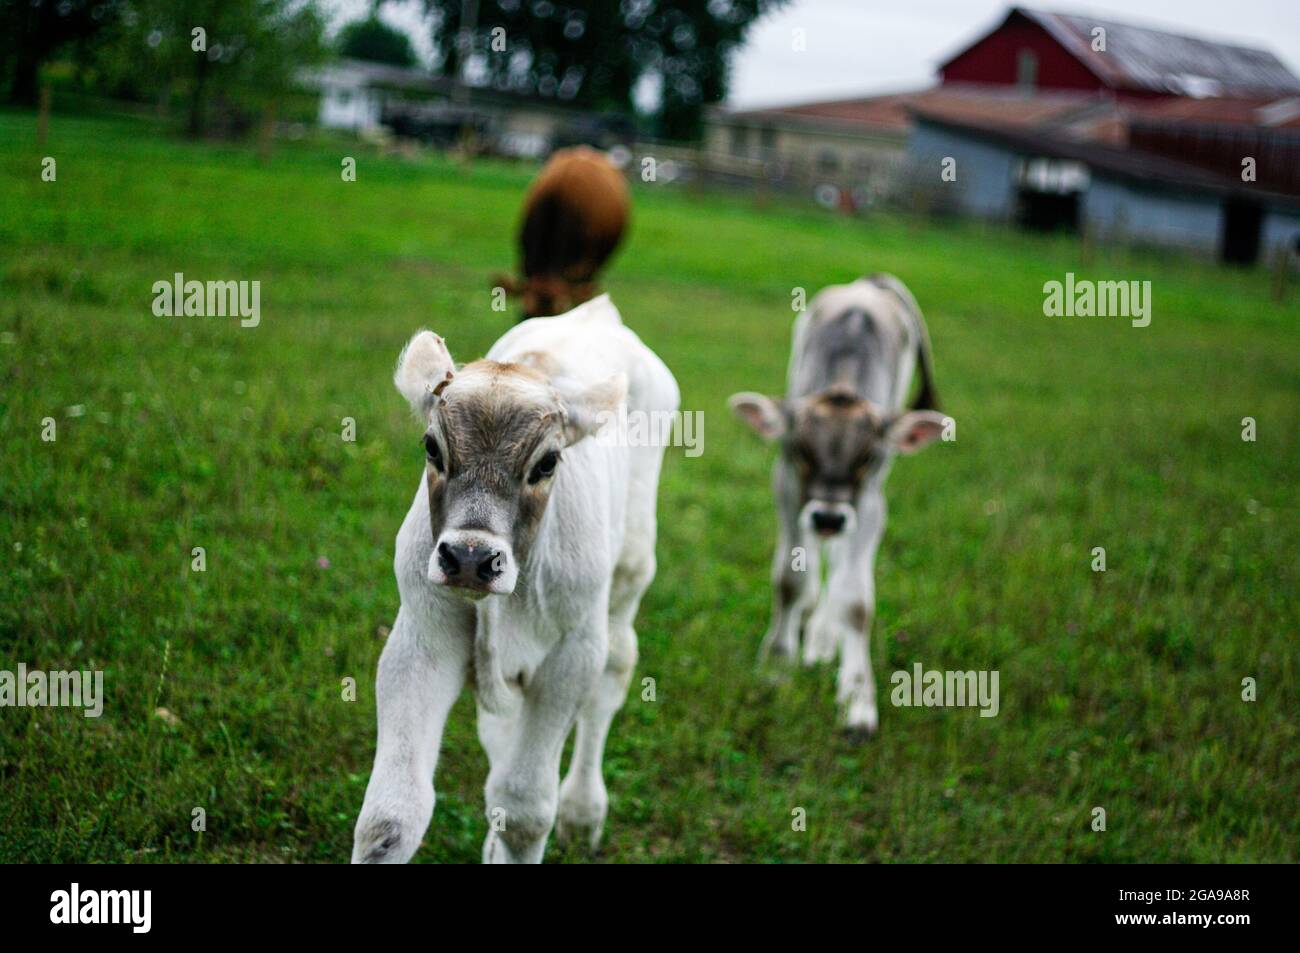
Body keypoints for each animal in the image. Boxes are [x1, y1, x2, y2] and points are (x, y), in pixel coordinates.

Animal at [352, 293, 679, 864]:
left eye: (547, 463)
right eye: (432, 447)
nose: (469, 558)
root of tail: (597, 312)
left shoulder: (571, 655)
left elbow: (527, 811)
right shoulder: (420, 637)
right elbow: (391, 815)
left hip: (630, 573)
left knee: (616, 669)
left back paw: (583, 811)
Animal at [728, 275, 953, 737]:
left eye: (866, 456)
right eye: (801, 449)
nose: (828, 516)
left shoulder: (868, 501)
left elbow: (855, 601)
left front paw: (857, 700)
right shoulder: (788, 485)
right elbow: (789, 580)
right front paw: (777, 663)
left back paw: (822, 638)